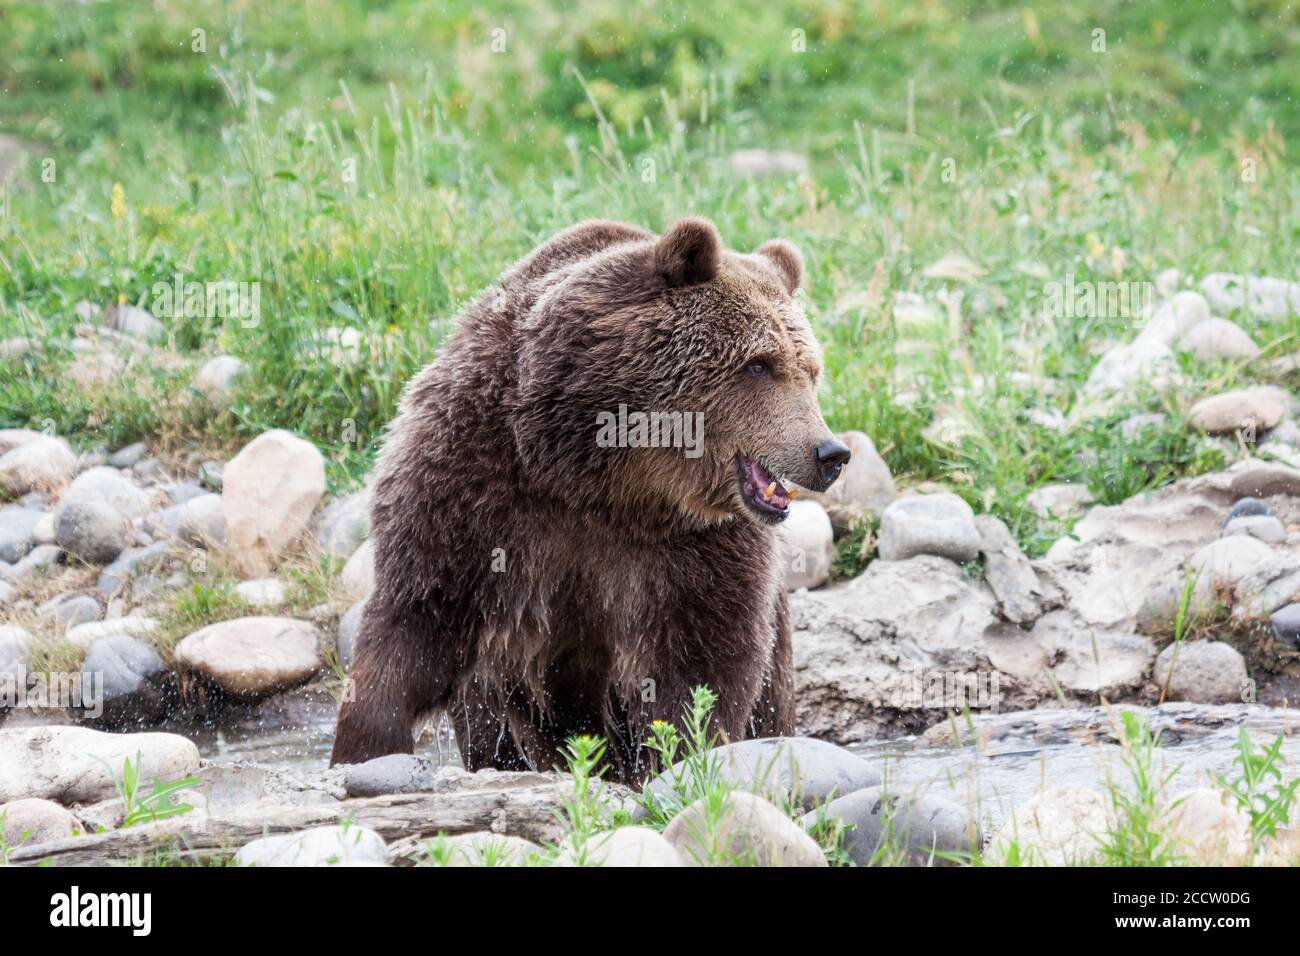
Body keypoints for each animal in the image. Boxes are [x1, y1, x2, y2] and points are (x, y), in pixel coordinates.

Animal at [330, 216, 850, 784]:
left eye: (811, 370)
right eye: (759, 364)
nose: (830, 452)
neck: (601, 476)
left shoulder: (698, 545)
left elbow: (698, 664)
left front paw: (683, 758)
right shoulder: (470, 484)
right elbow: (416, 620)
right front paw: (361, 753)